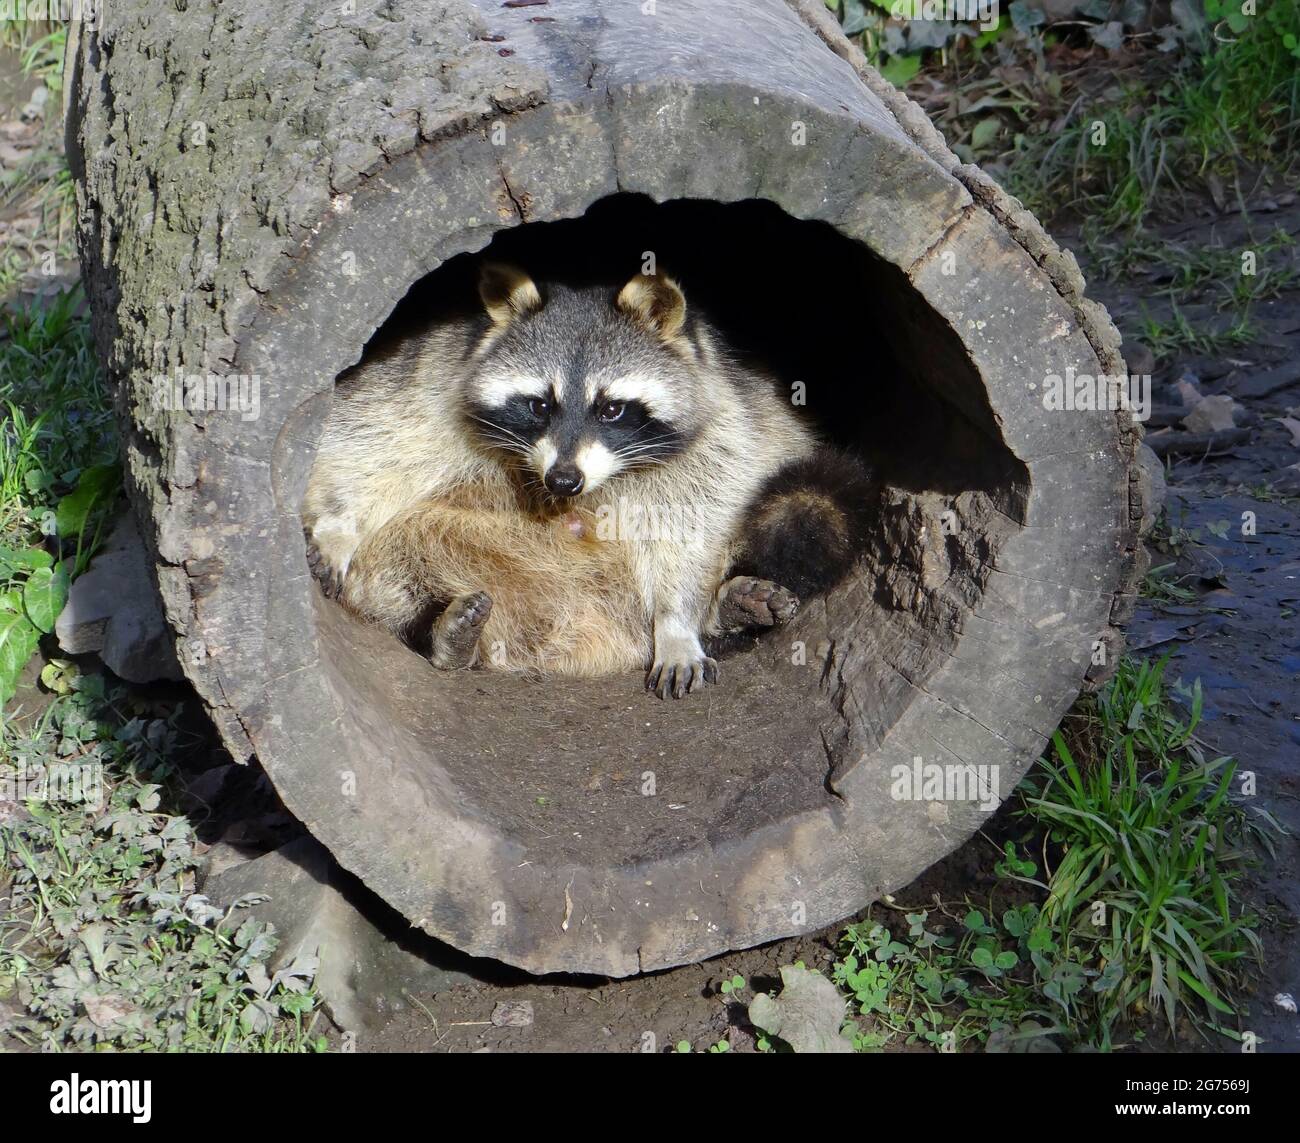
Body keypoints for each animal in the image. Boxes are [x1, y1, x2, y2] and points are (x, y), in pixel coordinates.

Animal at [302, 263, 876, 698]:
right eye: (539, 405)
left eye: (613, 409)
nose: (563, 481)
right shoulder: (431, 380)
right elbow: (369, 442)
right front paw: (340, 523)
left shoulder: (724, 434)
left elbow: (689, 532)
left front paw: (677, 624)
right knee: (397, 558)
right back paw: (436, 630)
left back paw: (723, 607)